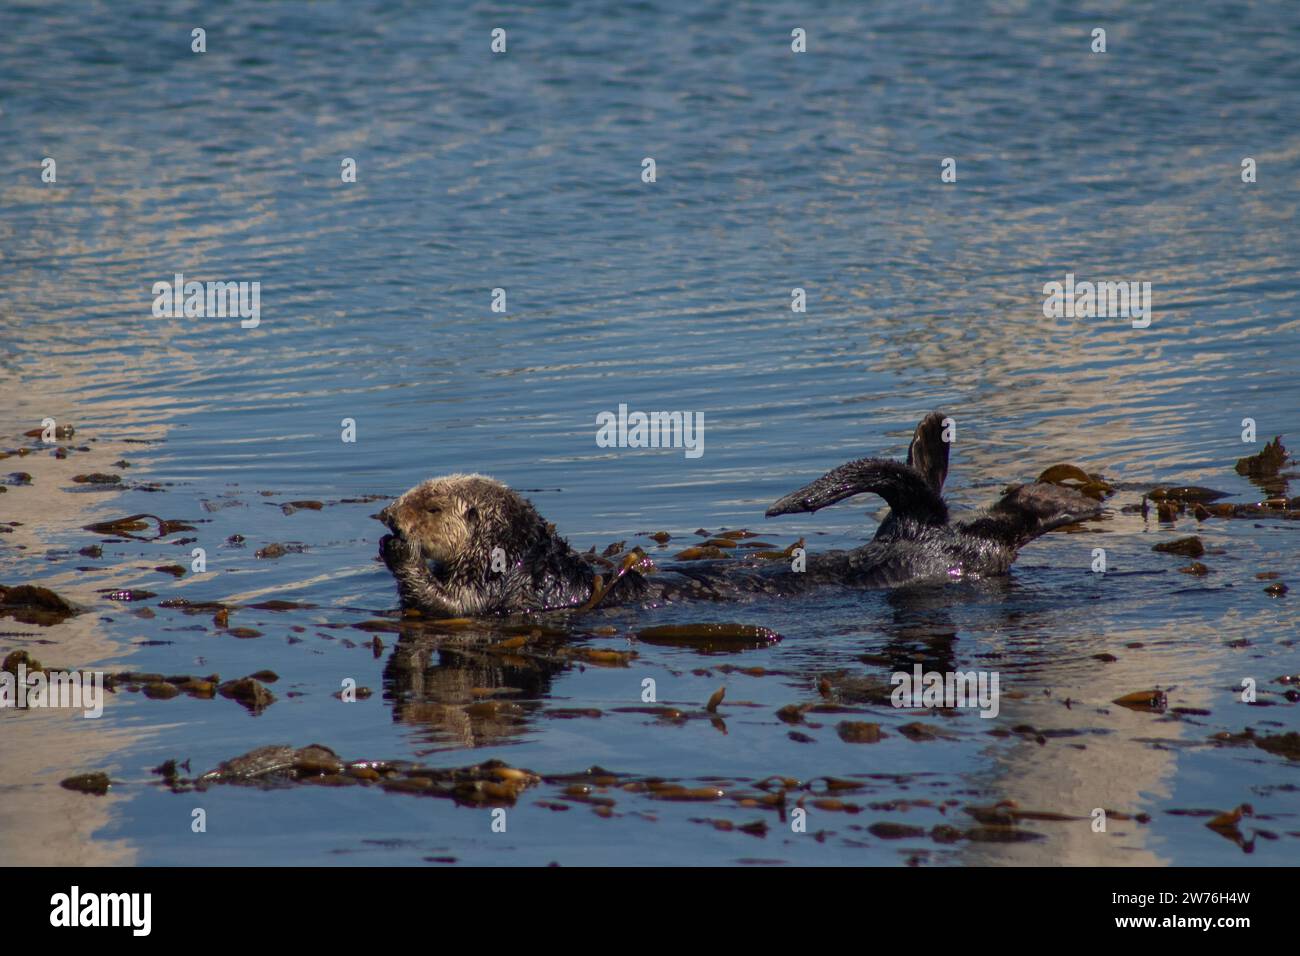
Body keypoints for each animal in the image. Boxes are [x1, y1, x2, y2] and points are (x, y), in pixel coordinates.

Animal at [376, 413, 1102, 616]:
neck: (531, 557)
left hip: (952, 556)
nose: (387, 513)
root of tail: (911, 528)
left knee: (997, 530)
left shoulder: (504, 594)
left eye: (430, 504)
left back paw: (1069, 500)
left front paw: (398, 553)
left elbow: (449, 605)